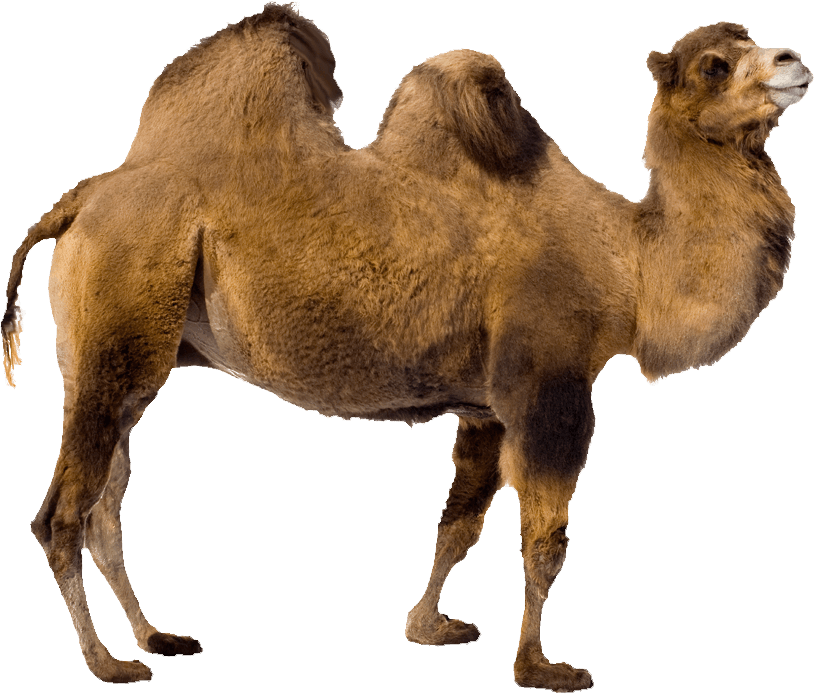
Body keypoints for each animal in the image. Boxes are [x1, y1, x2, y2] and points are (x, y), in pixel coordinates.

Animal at [3, 2, 810, 690]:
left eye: (750, 40)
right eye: (714, 65)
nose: (794, 59)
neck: (629, 263)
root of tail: (83, 198)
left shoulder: (484, 405)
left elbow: (458, 525)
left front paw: (430, 626)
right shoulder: (549, 384)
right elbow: (544, 541)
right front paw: (538, 667)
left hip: (129, 354)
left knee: (106, 504)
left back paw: (156, 637)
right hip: (123, 307)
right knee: (62, 514)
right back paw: (107, 663)